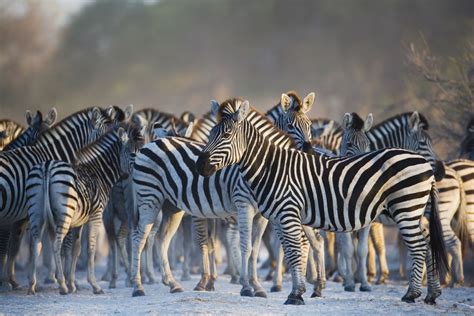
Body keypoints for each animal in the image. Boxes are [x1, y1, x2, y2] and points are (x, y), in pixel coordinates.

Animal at [26, 123, 142, 294]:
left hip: (36, 213)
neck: (99, 173)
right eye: (133, 154)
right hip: (63, 215)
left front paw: (72, 283)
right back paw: (61, 285)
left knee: (35, 245)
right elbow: (90, 249)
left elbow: (76, 248)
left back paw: (32, 286)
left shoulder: (79, 221)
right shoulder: (96, 214)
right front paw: (93, 285)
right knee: (56, 245)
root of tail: (47, 166)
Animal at [195, 97, 448, 304]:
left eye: (226, 135)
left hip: (406, 207)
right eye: (211, 135)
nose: (200, 165)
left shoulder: (288, 213)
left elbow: (295, 251)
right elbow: (290, 253)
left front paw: (296, 295)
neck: (271, 167)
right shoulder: (279, 217)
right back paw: (431, 294)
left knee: (418, 246)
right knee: (427, 243)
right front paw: (297, 291)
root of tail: (424, 164)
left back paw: (412, 294)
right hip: (415, 209)